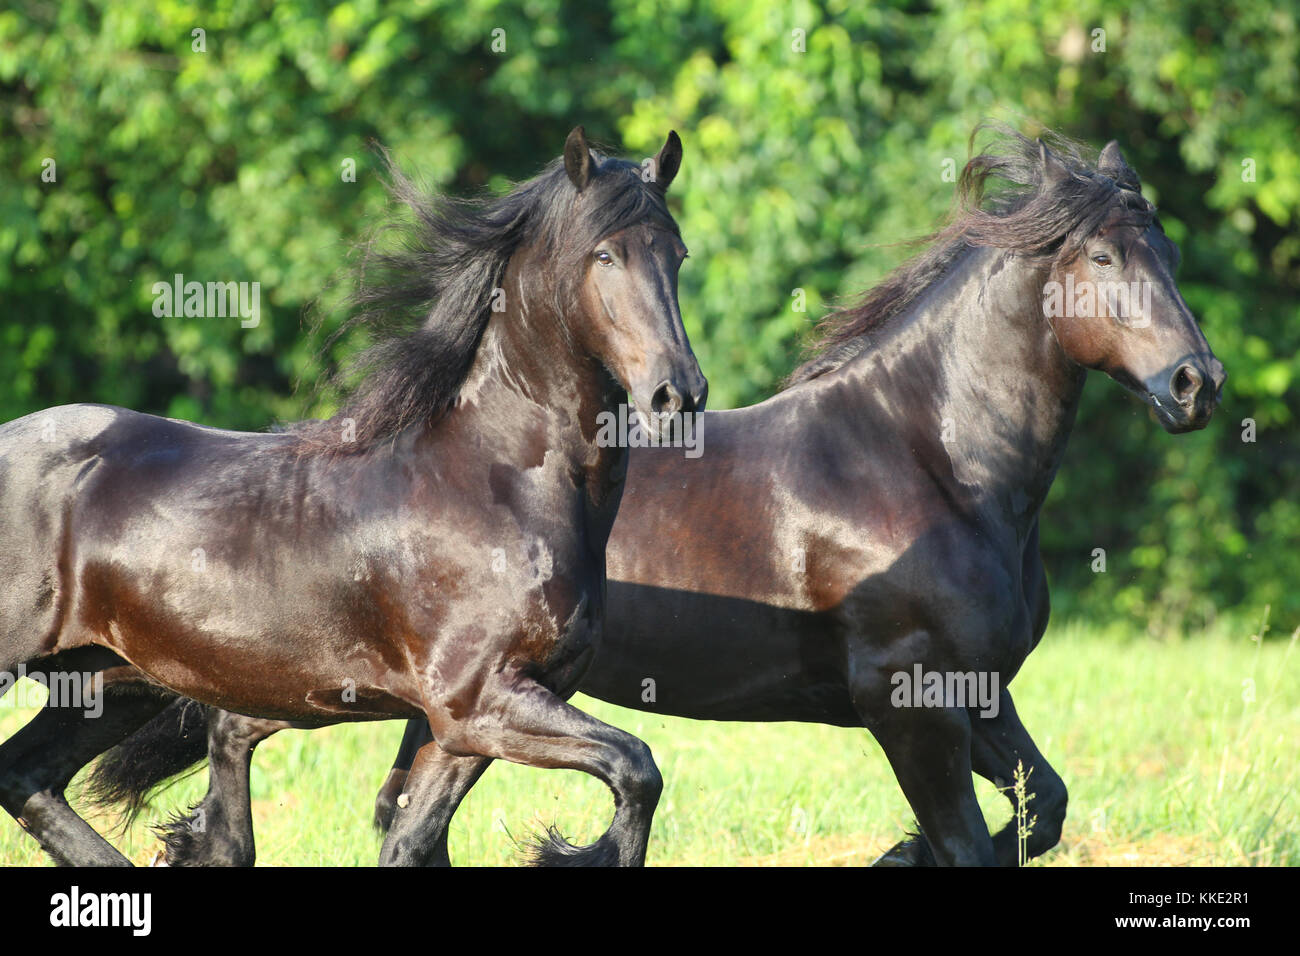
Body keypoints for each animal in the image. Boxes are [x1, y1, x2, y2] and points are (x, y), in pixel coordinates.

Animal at [0, 126, 707, 867]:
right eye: (604, 254)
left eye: (677, 253)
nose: (678, 394)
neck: (498, 483)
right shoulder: (478, 702)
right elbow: (637, 768)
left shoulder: (457, 726)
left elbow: (411, 838)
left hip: (109, 683)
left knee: (24, 775)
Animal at [83, 127, 1222, 866]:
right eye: (1106, 253)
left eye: (1168, 249)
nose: (1195, 383)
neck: (929, 461)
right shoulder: (906, 697)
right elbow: (969, 843)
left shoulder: (978, 692)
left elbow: (1041, 809)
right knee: (244, 739)